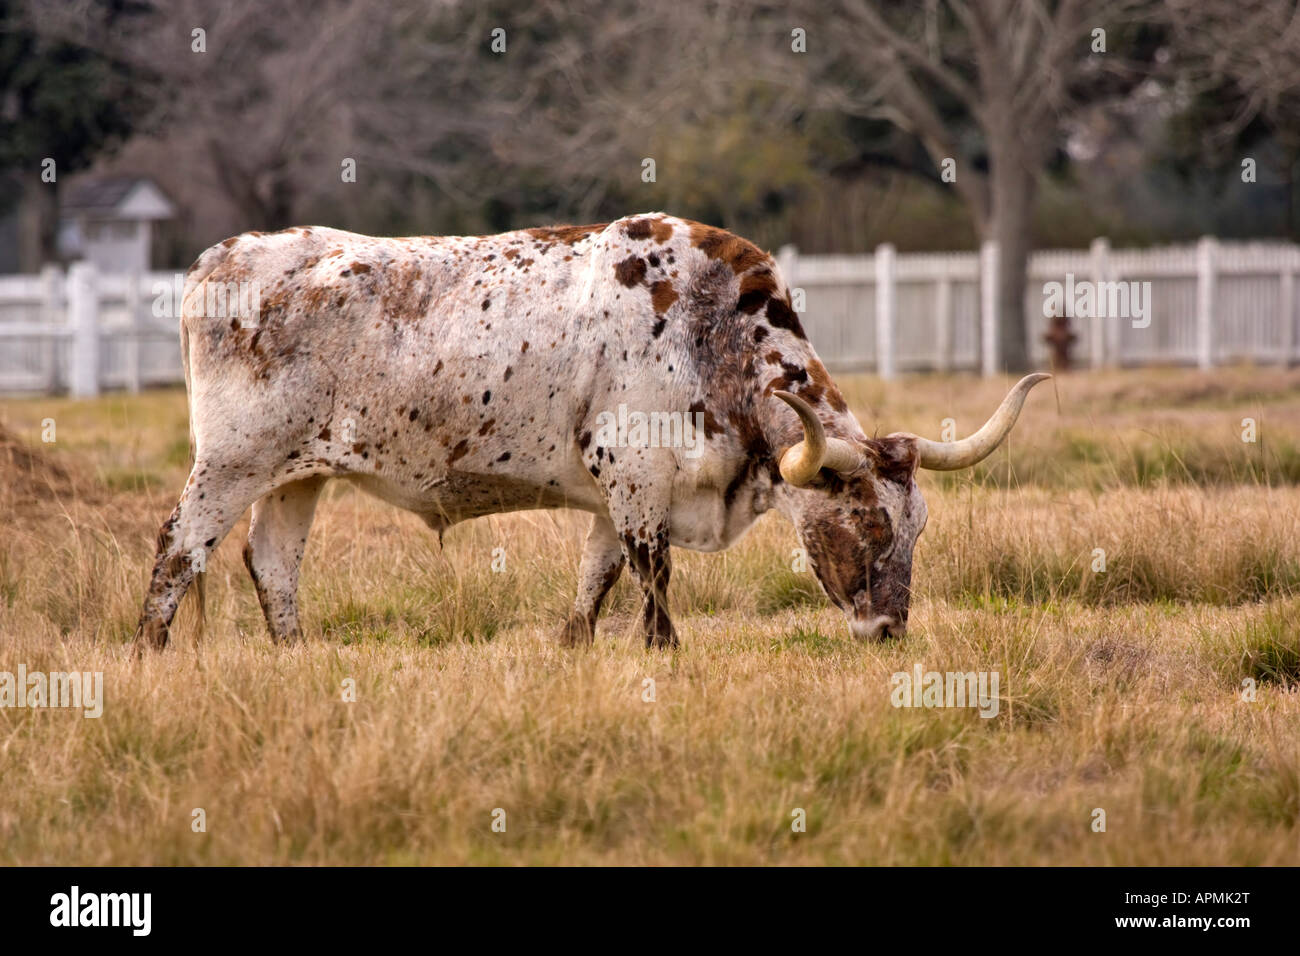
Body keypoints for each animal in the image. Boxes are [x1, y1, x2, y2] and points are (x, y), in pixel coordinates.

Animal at [134, 215, 1045, 650]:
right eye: (870, 524)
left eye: (917, 528)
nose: (888, 630)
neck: (711, 333)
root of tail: (222, 257)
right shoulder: (636, 482)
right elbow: (655, 589)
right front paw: (662, 656)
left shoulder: (618, 498)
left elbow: (595, 583)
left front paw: (572, 648)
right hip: (231, 462)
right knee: (179, 548)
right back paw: (150, 652)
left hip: (299, 475)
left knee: (272, 563)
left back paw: (298, 655)